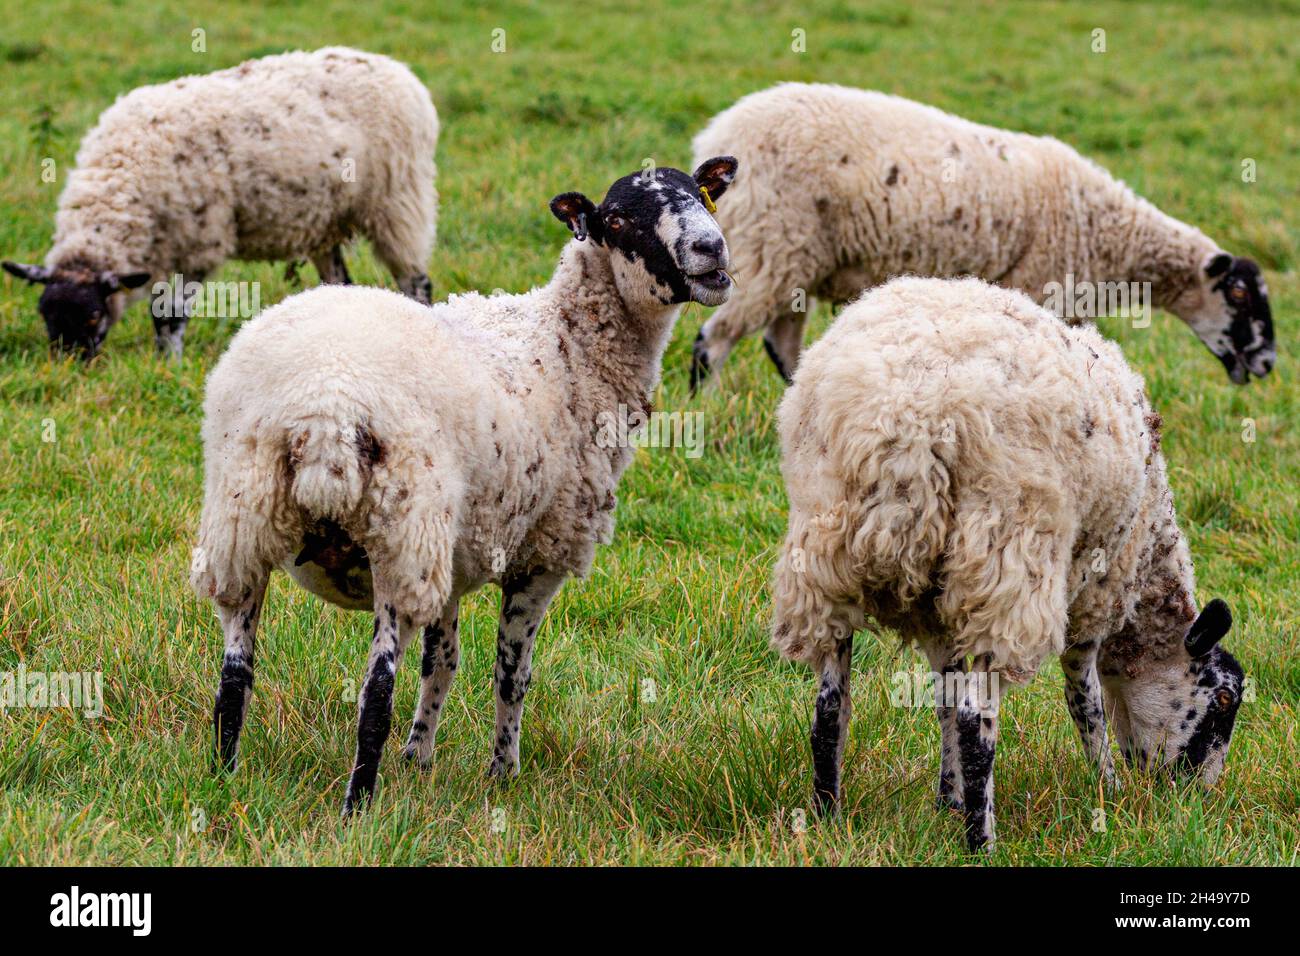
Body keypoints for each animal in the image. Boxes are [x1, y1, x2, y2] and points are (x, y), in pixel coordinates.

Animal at [3, 46, 438, 360]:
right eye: (44, 312)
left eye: (93, 314)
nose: (70, 365)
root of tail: (398, 70)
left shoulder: (200, 241)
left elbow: (170, 315)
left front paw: (169, 366)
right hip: (327, 219)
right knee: (340, 284)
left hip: (399, 200)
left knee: (416, 281)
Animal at [190, 156, 740, 815]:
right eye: (617, 220)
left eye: (701, 195)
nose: (711, 249)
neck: (569, 345)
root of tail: (323, 405)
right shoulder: (541, 553)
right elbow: (511, 675)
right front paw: (502, 772)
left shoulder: (453, 554)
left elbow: (442, 662)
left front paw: (419, 757)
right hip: (400, 537)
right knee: (375, 692)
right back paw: (357, 807)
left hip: (242, 521)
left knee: (233, 678)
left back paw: (225, 779)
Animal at [689, 82, 1275, 390]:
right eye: (1238, 294)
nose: (1269, 364)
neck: (1108, 232)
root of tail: (718, 134)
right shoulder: (1040, 289)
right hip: (773, 242)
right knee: (716, 336)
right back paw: (704, 400)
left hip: (799, 259)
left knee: (782, 342)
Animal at [770, 276, 1246, 851]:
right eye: (1223, 701)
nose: (1199, 799)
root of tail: (907, 419)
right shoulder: (1091, 595)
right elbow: (1083, 699)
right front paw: (1106, 790)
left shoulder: (940, 609)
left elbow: (944, 698)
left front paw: (947, 800)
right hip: (1002, 562)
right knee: (979, 722)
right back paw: (982, 842)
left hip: (825, 555)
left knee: (830, 707)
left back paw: (825, 817)